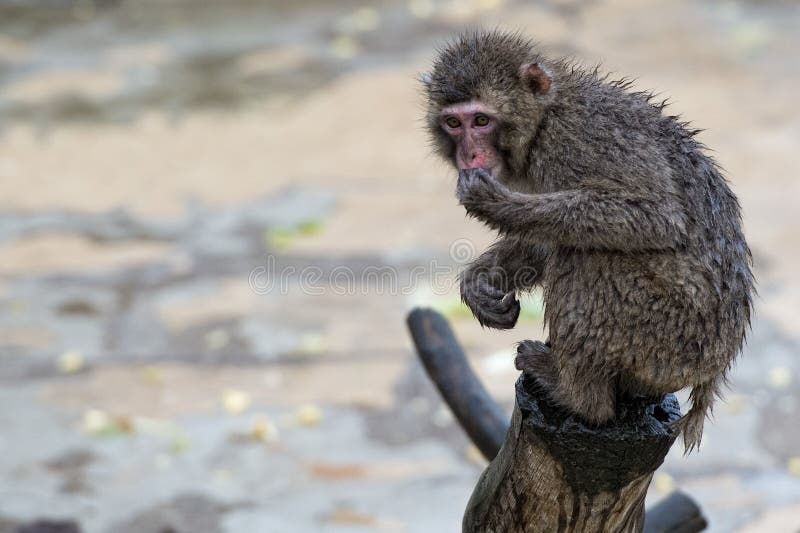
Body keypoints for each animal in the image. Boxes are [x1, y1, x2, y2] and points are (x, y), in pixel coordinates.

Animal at [422, 31, 754, 452]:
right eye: (453, 123)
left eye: (481, 121)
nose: (469, 155)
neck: (543, 121)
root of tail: (714, 369)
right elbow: (543, 243)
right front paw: (480, 283)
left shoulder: (577, 140)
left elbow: (657, 216)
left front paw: (494, 205)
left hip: (668, 339)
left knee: (589, 256)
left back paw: (578, 397)